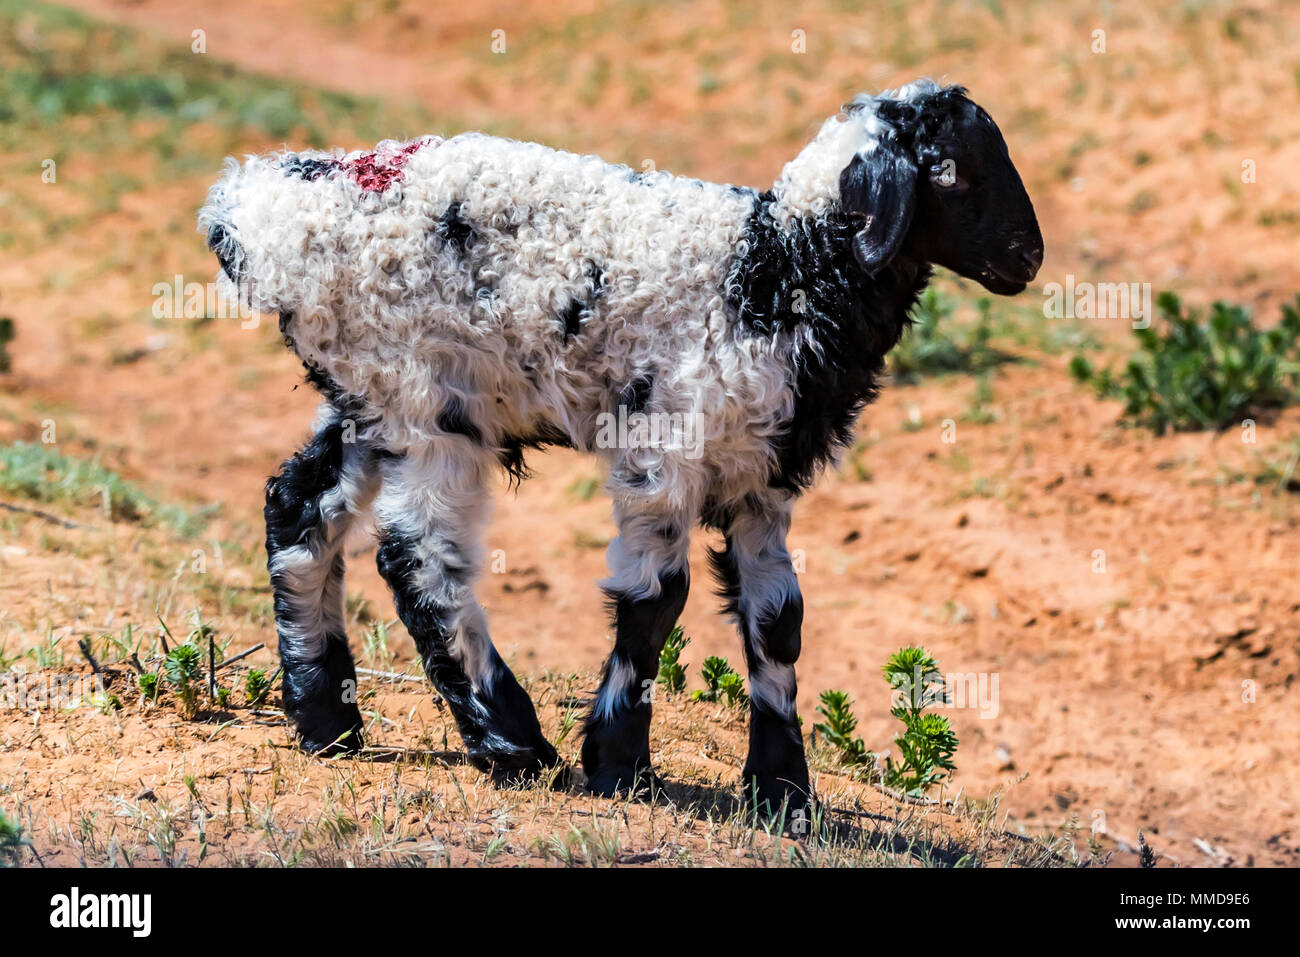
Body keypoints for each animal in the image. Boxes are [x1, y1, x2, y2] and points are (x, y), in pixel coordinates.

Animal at [199, 79, 1043, 815]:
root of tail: (257, 206)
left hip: (367, 398)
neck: (774, 271)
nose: (1028, 258)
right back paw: (511, 739)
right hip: (421, 399)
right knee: (419, 563)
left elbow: (778, 618)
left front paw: (782, 790)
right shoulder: (663, 450)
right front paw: (619, 761)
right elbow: (655, 600)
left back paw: (325, 719)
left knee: (298, 507)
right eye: (952, 171)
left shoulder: (758, 477)